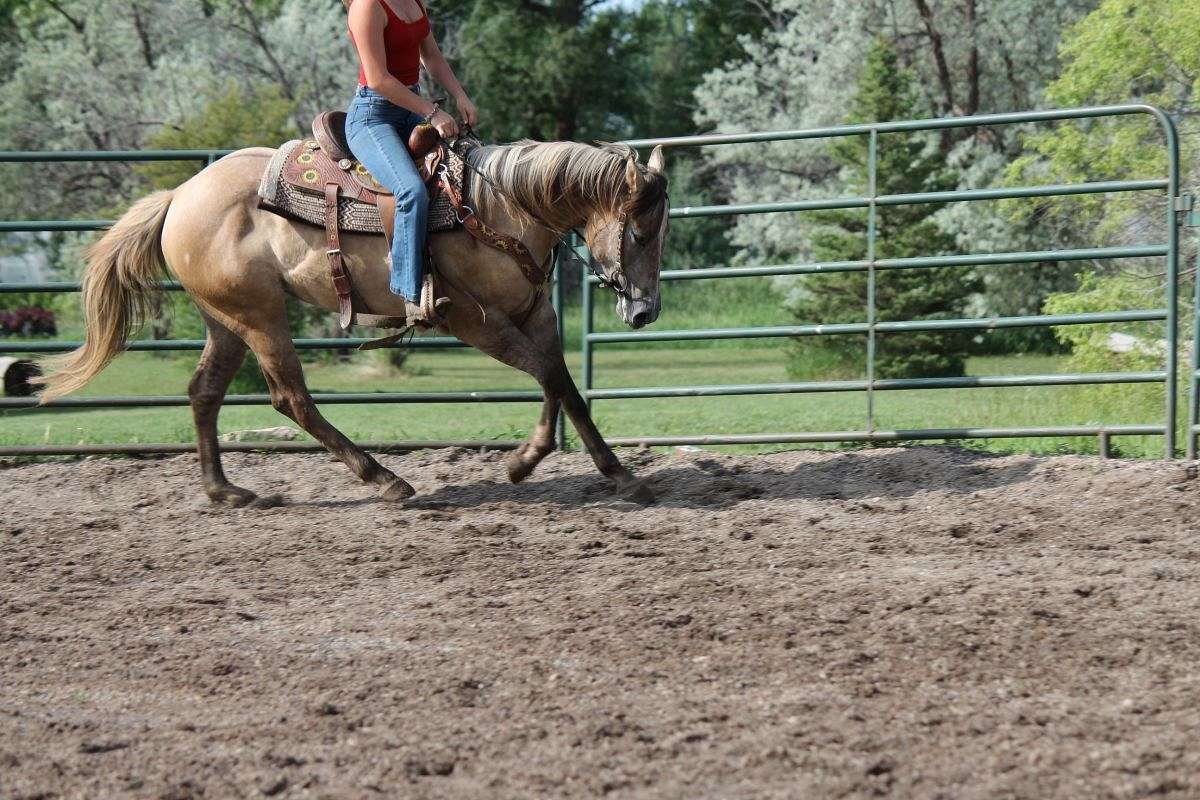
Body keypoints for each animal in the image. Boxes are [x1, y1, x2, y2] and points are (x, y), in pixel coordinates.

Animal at [36, 140, 670, 506]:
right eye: (641, 232)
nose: (644, 311)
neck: (499, 207)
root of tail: (179, 196)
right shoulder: (474, 320)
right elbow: (547, 374)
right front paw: (525, 461)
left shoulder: (534, 312)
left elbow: (564, 385)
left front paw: (618, 475)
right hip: (261, 316)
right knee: (290, 398)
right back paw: (385, 479)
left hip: (225, 319)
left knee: (204, 392)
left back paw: (227, 491)